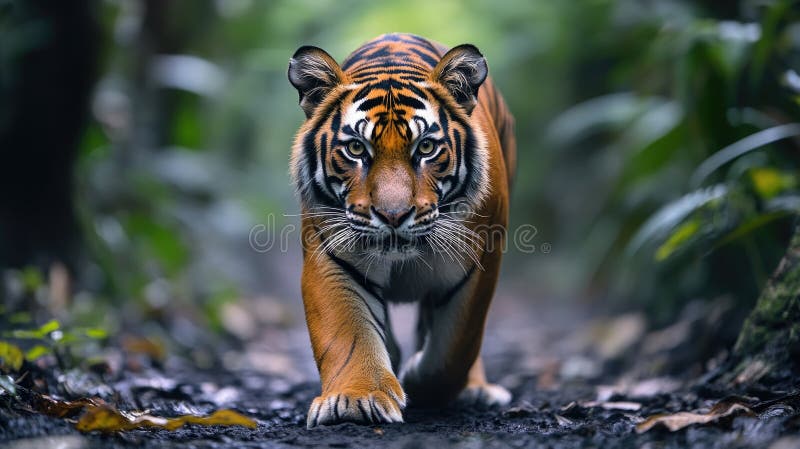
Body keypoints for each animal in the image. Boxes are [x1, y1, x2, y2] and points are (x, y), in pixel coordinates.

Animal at [287, 33, 516, 428]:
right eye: (355, 148)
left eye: (426, 147)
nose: (392, 215)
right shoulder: (331, 255)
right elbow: (348, 331)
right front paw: (356, 398)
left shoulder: (479, 264)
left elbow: (455, 347)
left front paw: (422, 387)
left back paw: (474, 390)